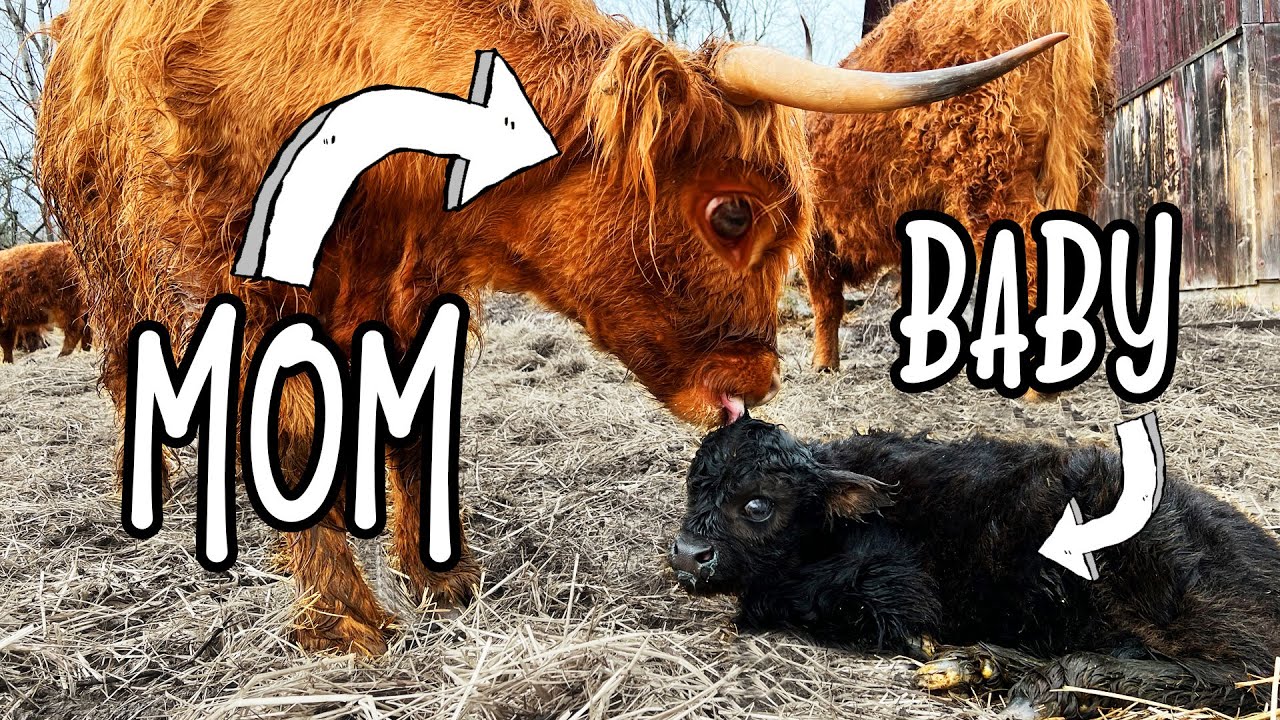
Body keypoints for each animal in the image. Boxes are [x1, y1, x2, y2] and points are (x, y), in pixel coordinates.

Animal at [36, 0, 1062, 654]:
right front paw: (345, 618)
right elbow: (284, 432)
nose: (759, 381)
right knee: (134, 384)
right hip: (114, 275)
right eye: (731, 213)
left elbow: (413, 424)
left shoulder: (414, 288)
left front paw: (441, 579)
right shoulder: (236, 284)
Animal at [670, 417, 1280, 719]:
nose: (687, 555)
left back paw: (1051, 687)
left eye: (758, 505)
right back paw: (982, 666)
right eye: (694, 486)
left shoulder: (899, 586)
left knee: (1240, 675)